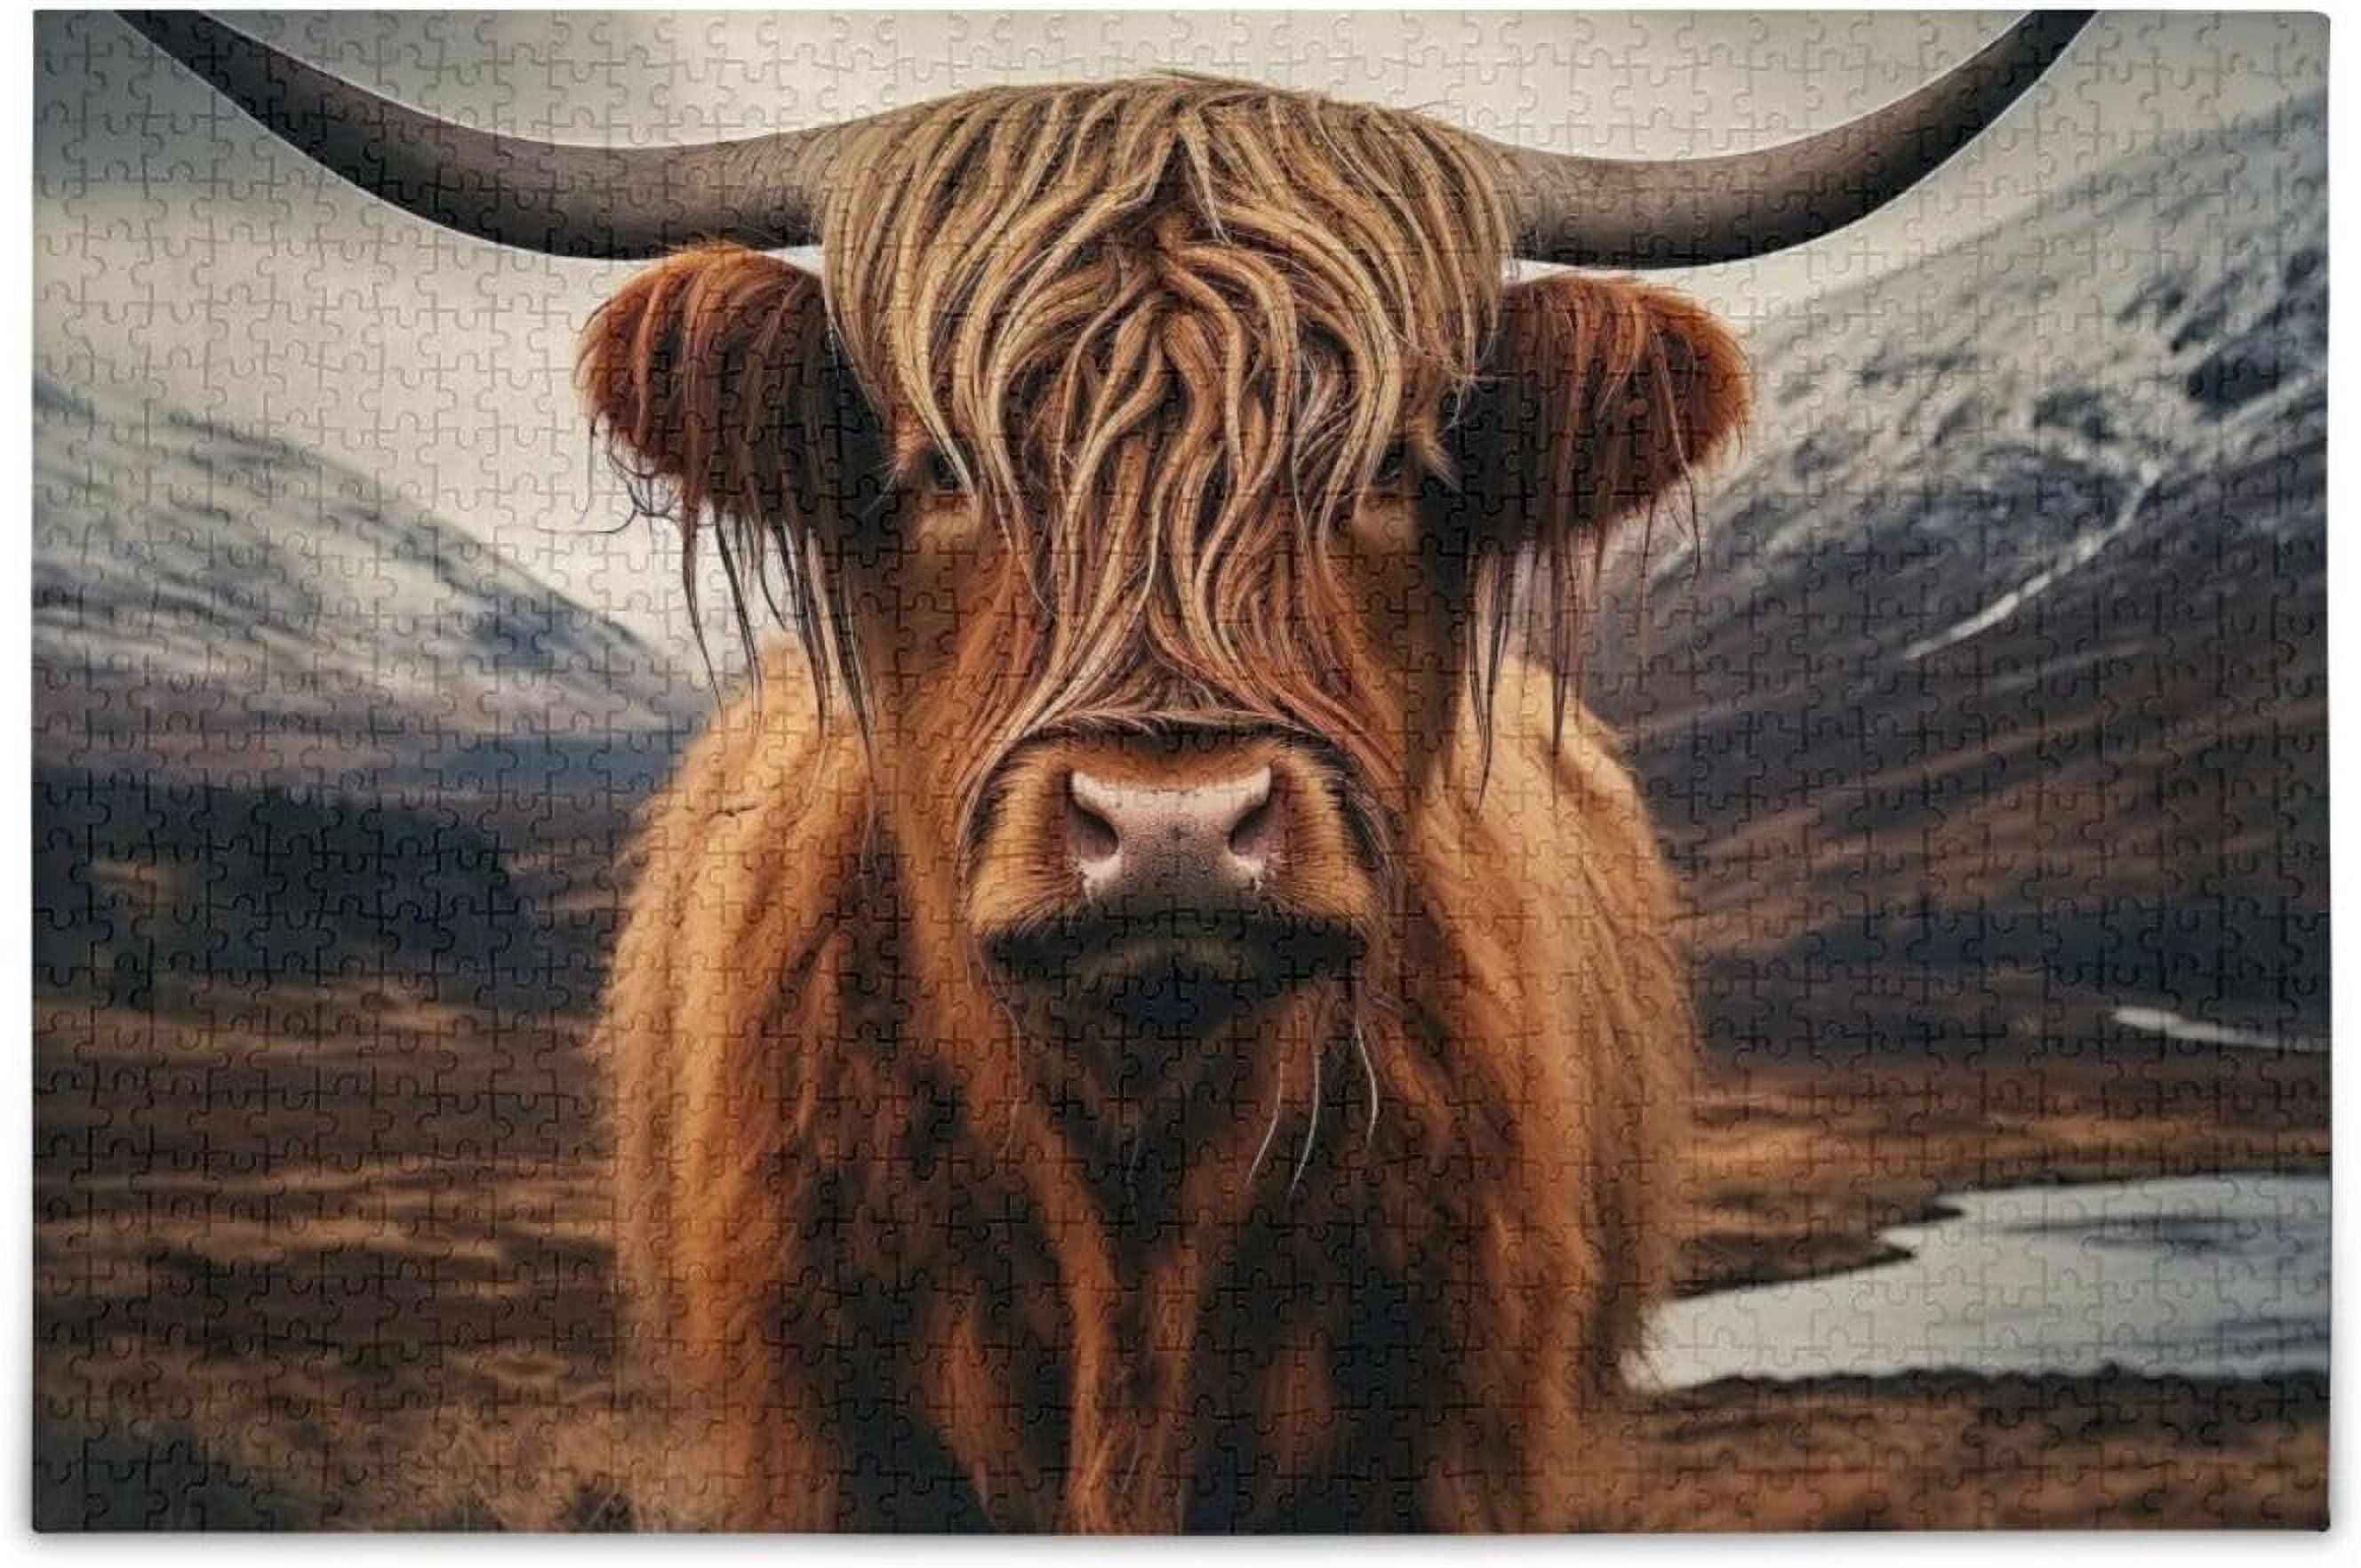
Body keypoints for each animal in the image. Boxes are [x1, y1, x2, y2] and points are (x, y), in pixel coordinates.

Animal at [128, 10, 2090, 1531]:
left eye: (1393, 465)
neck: (1130, 1213)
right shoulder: (829, 1437)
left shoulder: (1447, 1435)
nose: (1170, 833)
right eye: (936, 466)